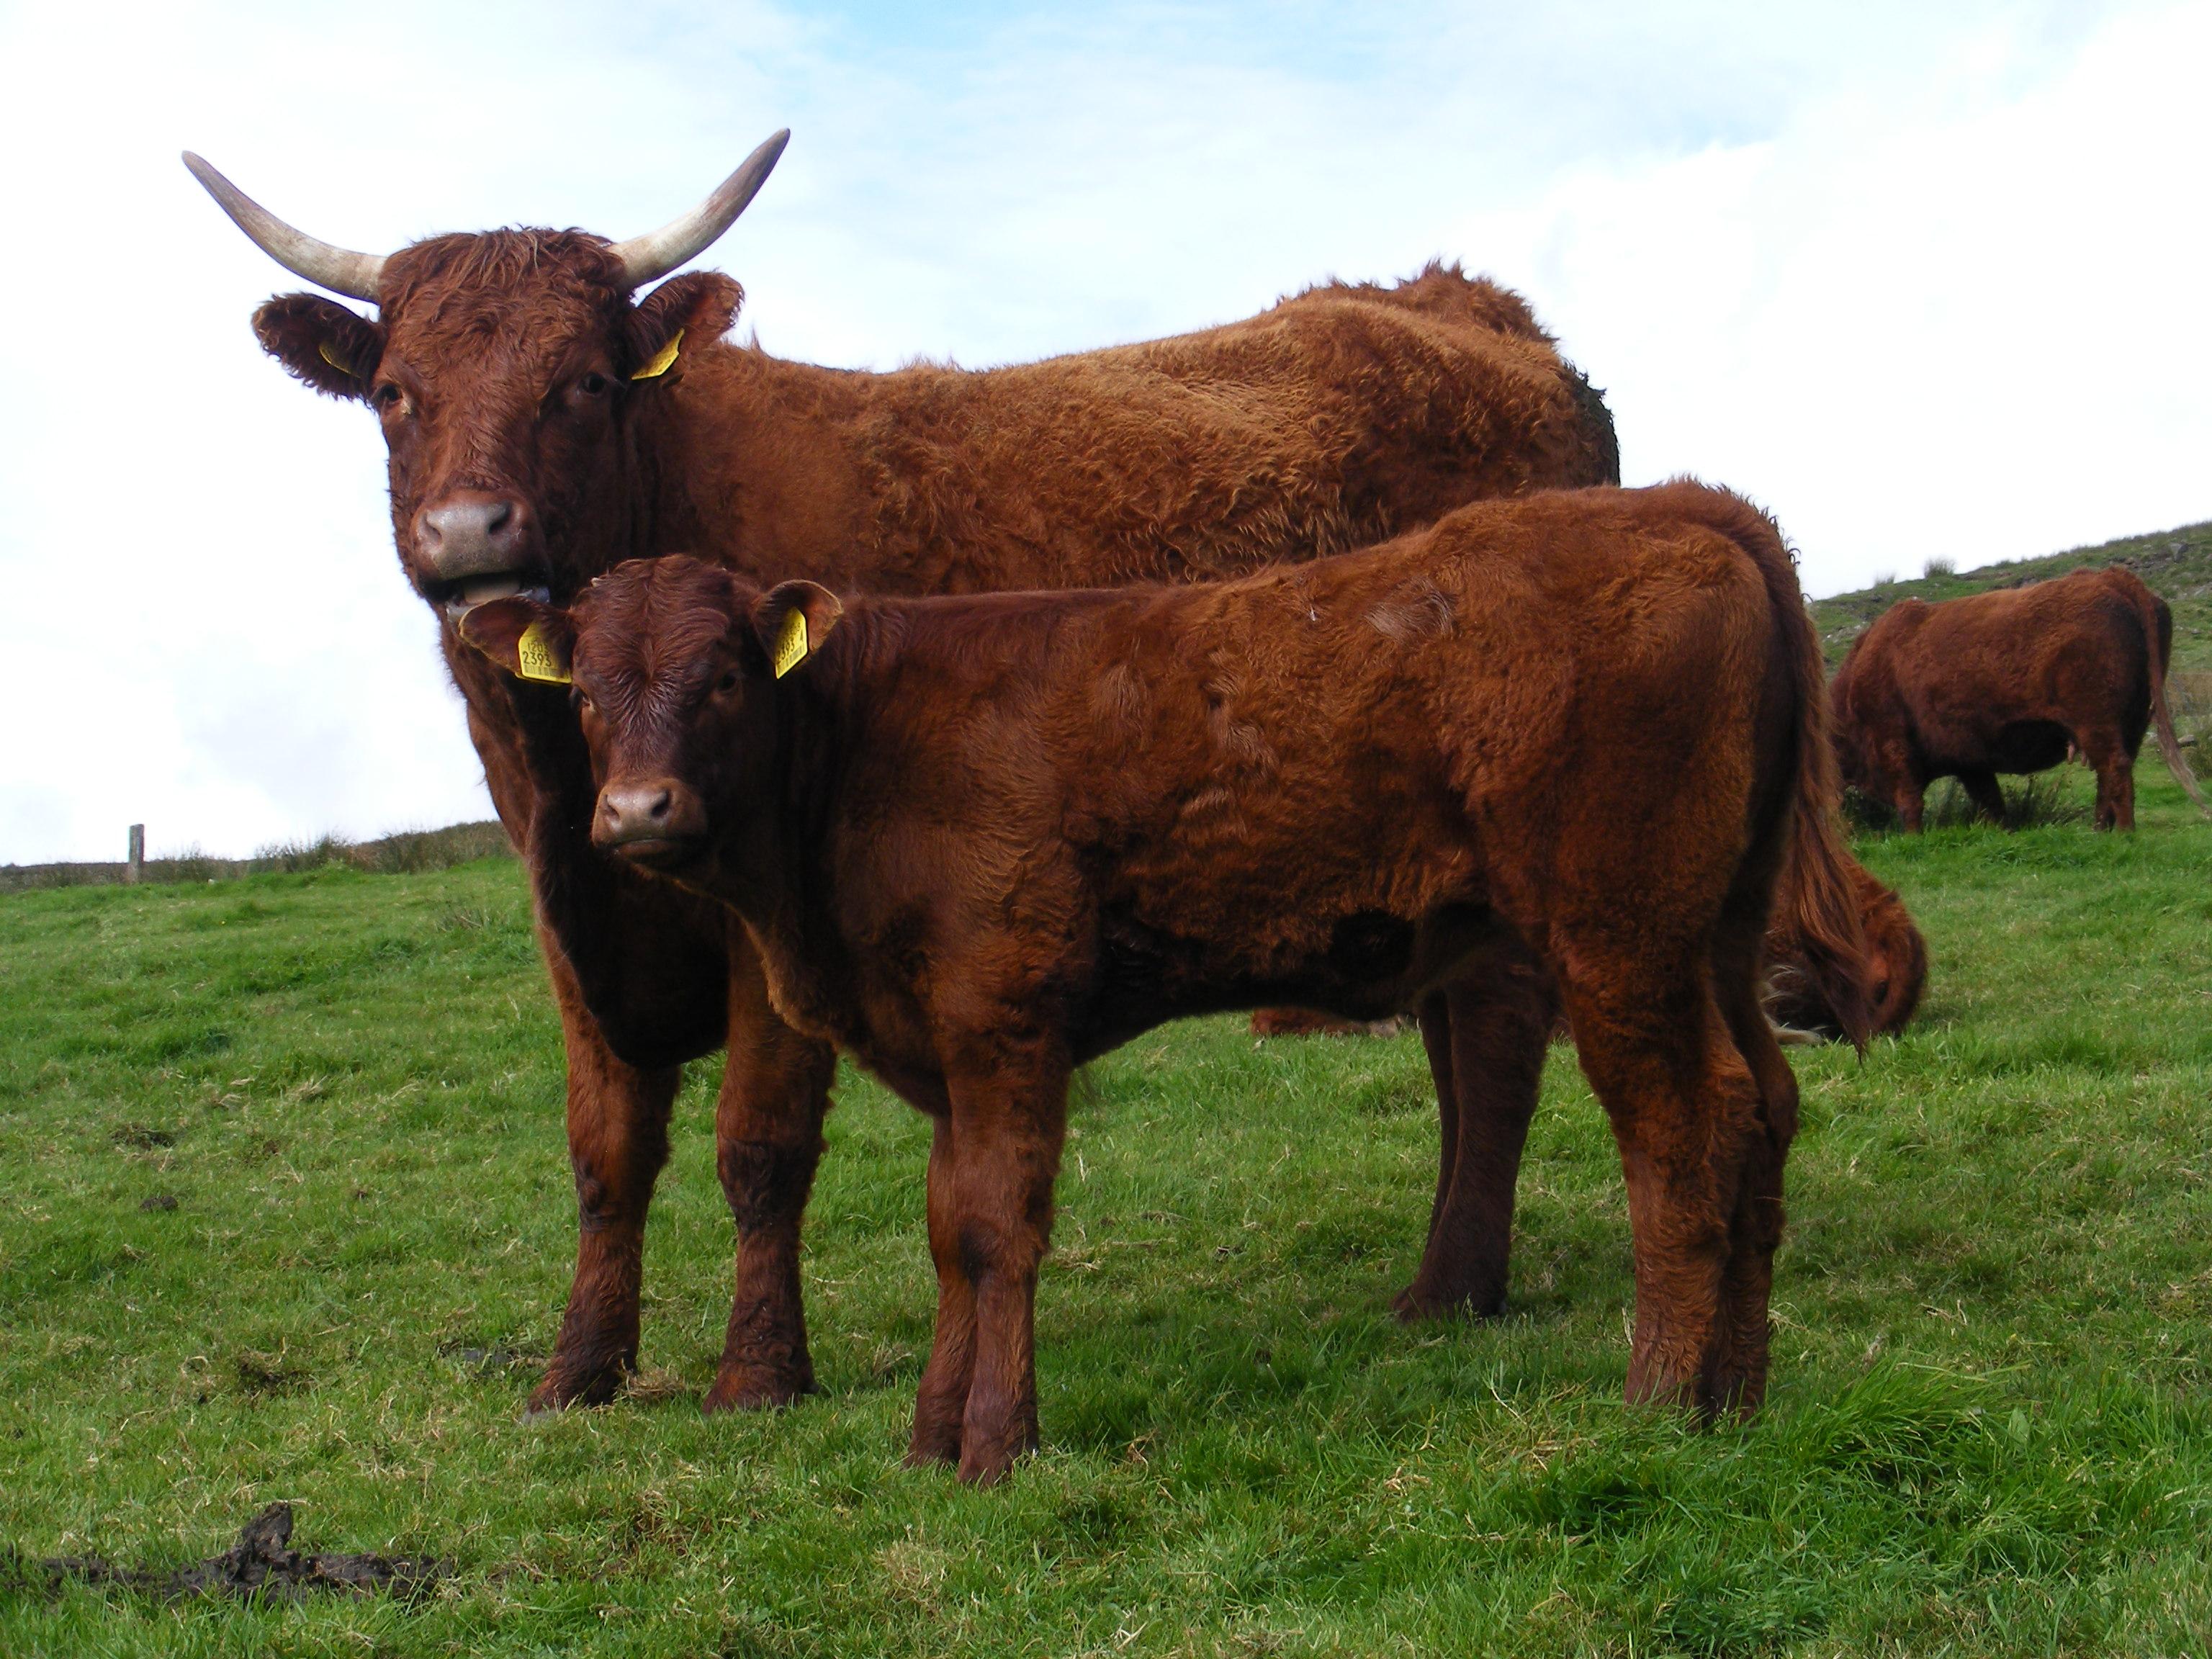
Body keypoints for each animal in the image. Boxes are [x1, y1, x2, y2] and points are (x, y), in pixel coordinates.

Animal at [457, 479, 1849, 1483]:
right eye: (585, 694)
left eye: (726, 675)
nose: (637, 813)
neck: (859, 754)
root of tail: (1683, 504)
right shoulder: (942, 1040)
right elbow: (946, 1232)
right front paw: (928, 1437)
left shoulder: (1004, 1014)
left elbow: (996, 1227)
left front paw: (996, 1445)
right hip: (1717, 932)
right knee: (1766, 1106)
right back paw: (1740, 1390)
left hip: (1619, 938)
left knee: (1684, 1128)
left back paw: (1659, 1399)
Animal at [1831, 565, 2210, 832]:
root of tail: (2109, 577)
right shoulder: (1970, 761)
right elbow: (1992, 803)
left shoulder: (1896, 746)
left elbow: (1910, 803)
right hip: (2131, 723)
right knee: (2111, 776)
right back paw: (2099, 831)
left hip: (2097, 725)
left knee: (2115, 768)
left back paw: (2124, 834)